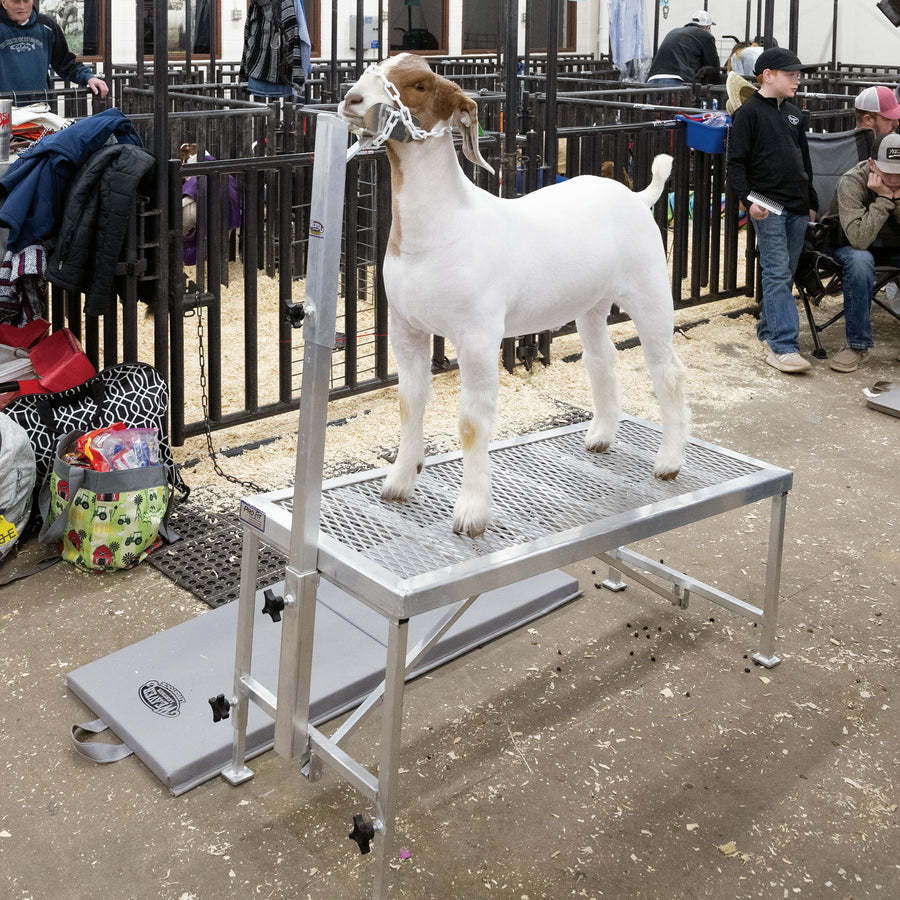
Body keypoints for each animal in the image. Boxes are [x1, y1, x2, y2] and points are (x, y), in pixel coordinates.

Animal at [338, 54, 689, 538]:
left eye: (420, 85)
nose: (352, 100)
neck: (446, 224)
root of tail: (639, 197)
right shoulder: (407, 329)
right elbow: (409, 404)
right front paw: (398, 482)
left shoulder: (477, 337)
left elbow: (472, 422)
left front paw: (471, 513)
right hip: (591, 304)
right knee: (602, 359)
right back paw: (601, 435)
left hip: (650, 291)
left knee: (667, 371)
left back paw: (669, 461)